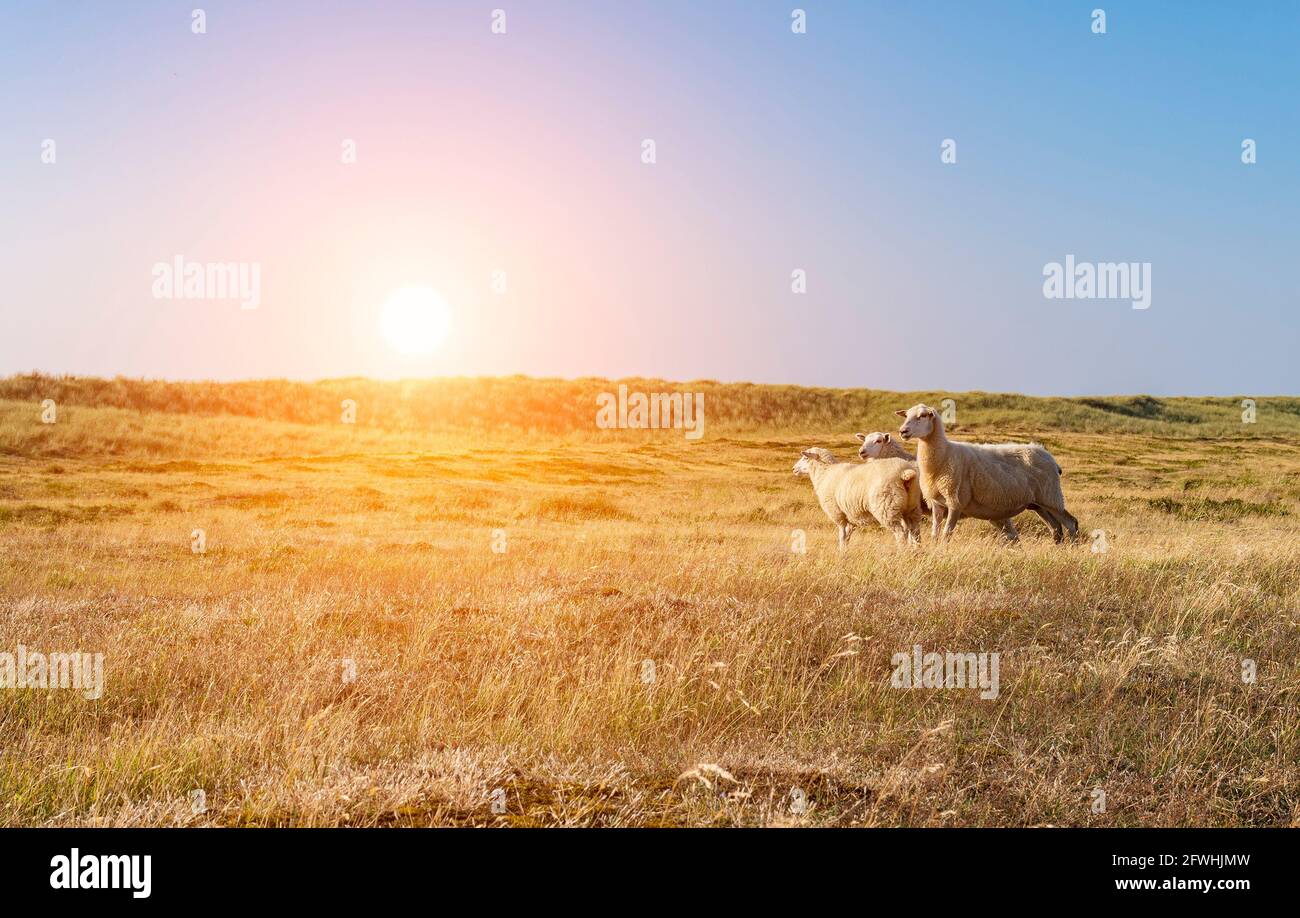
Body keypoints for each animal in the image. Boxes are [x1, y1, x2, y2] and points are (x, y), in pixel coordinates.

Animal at [793, 447, 924, 547]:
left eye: (805, 458)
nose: (793, 469)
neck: (825, 473)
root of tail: (905, 473)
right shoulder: (850, 516)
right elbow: (847, 535)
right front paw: (845, 550)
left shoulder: (838, 514)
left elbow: (842, 535)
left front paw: (841, 551)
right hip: (912, 507)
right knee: (915, 532)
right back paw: (916, 552)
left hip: (886, 507)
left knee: (900, 534)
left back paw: (902, 552)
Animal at [894, 404, 1078, 543]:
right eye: (906, 415)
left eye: (922, 416)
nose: (902, 431)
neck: (945, 454)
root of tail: (1050, 457)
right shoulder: (937, 504)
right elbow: (934, 534)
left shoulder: (955, 503)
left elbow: (946, 534)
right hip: (1039, 503)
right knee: (1055, 527)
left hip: (1051, 497)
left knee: (1071, 523)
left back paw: (1070, 549)